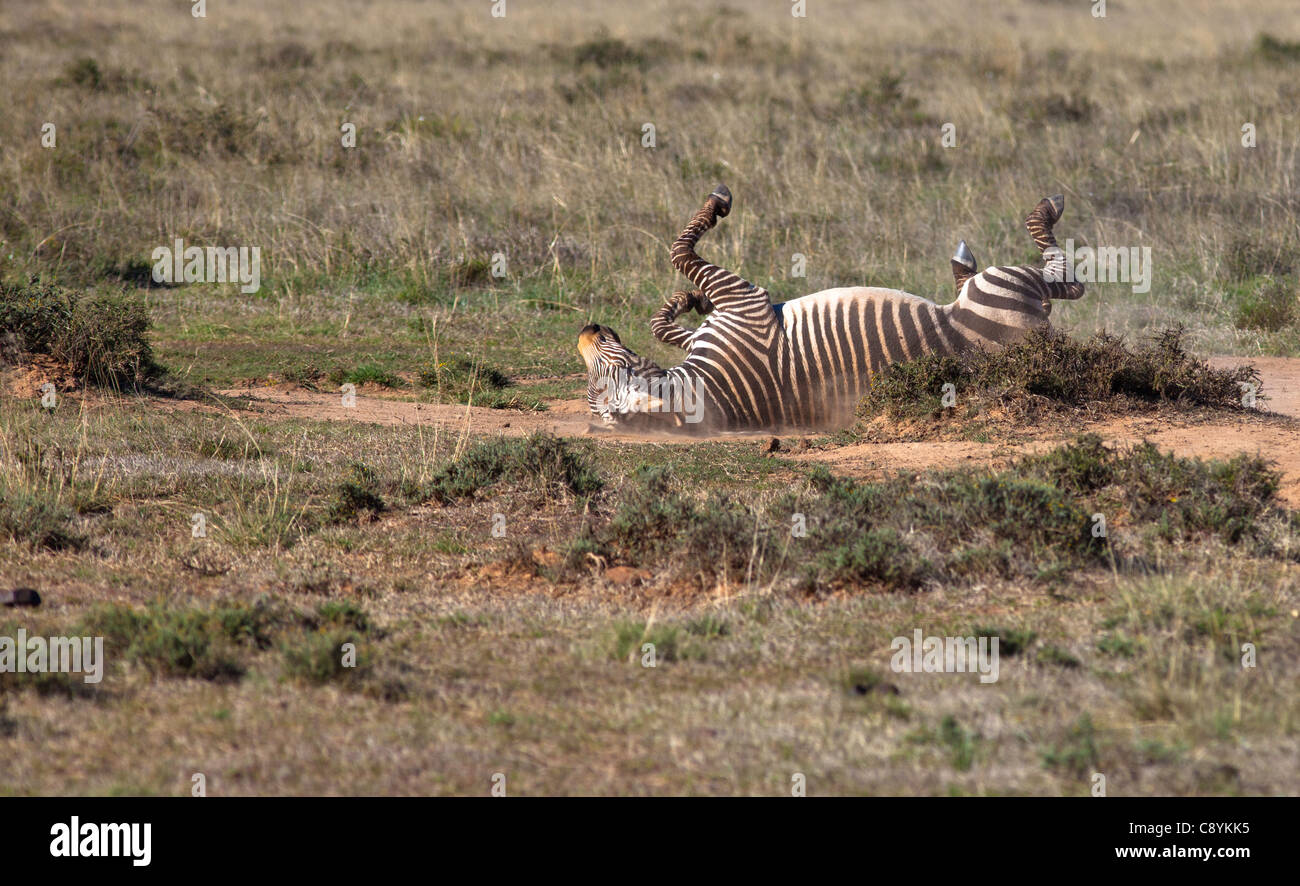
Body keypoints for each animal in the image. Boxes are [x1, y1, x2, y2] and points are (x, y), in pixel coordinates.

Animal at [579, 185, 1084, 432]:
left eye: (603, 371)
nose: (587, 329)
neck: (705, 387)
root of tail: (1039, 337)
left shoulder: (729, 311)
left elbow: (665, 317)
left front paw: (688, 300)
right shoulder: (745, 301)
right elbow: (679, 250)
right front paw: (719, 200)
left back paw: (962, 261)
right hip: (1005, 286)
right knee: (1065, 278)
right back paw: (1043, 210)